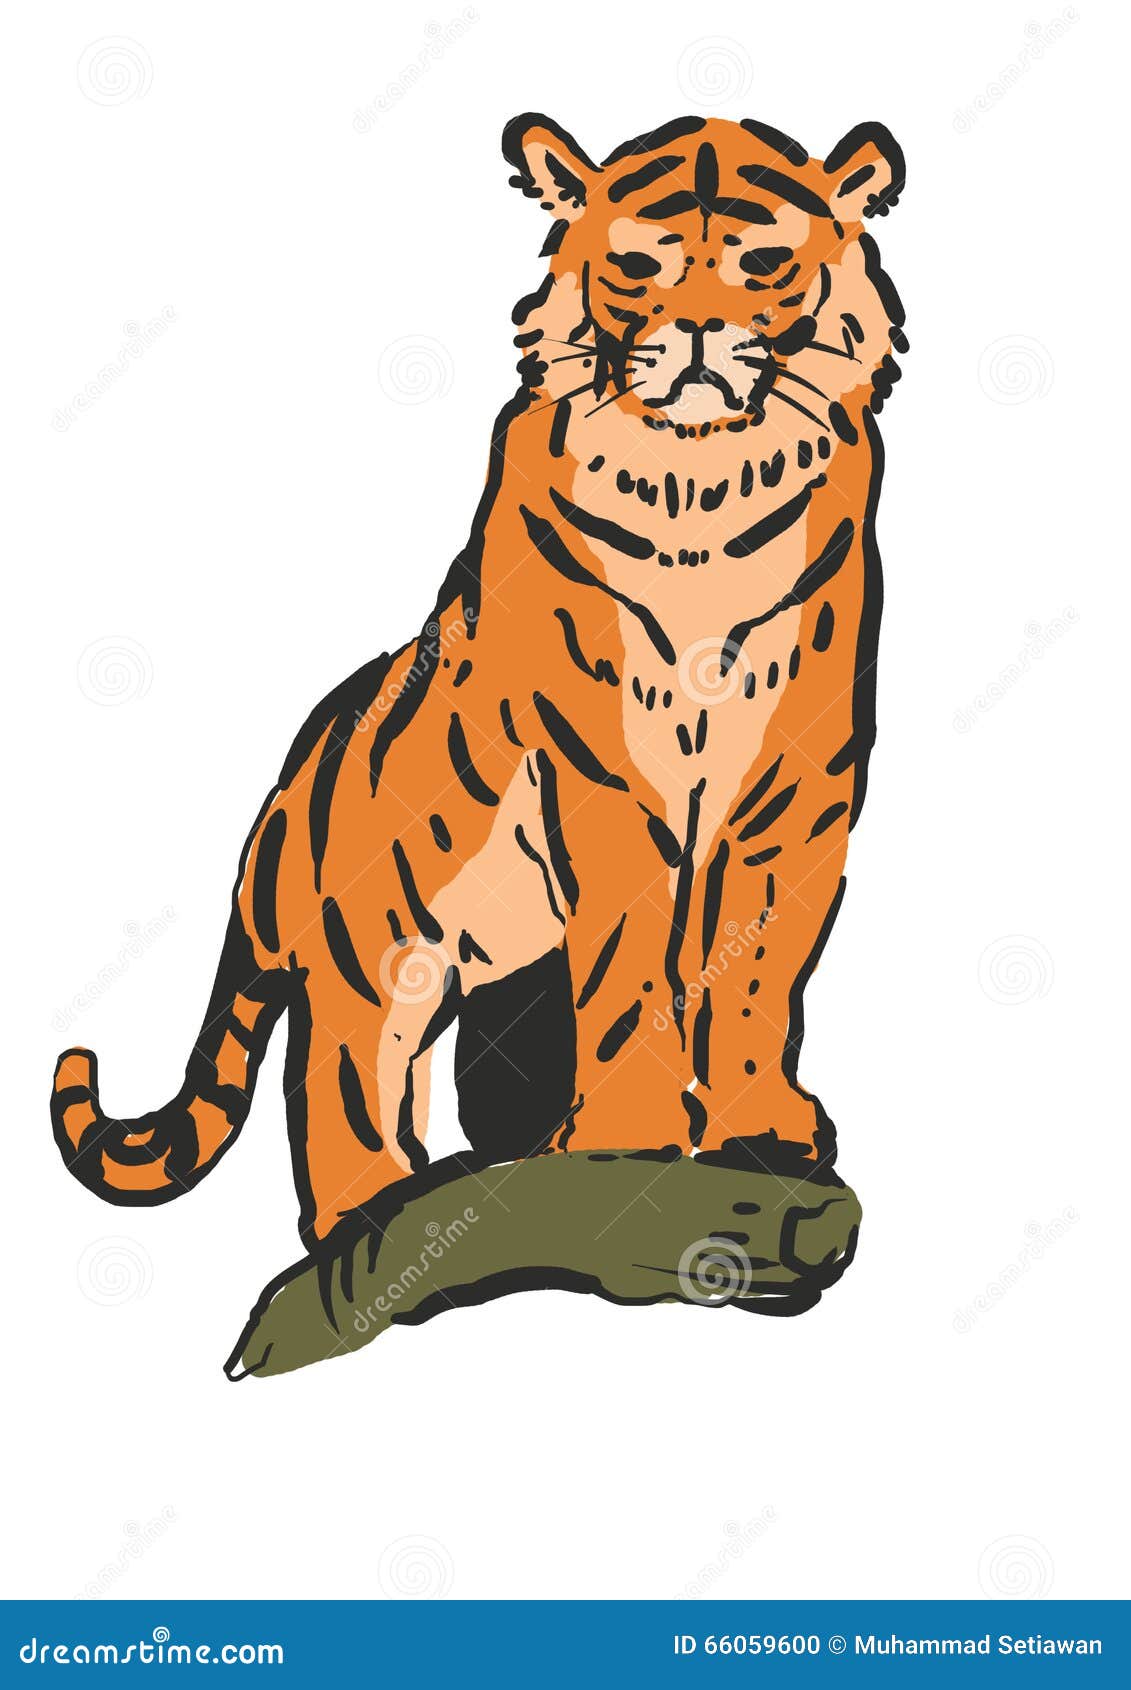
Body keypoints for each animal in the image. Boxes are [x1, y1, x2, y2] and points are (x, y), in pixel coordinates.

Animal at [52, 112, 907, 1263]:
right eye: (639, 267)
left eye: (762, 263)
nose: (693, 332)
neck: (703, 494)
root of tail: (286, 790)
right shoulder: (602, 772)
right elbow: (631, 966)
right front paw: (625, 1138)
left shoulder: (797, 781)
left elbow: (757, 967)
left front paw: (758, 1127)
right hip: (373, 953)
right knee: (343, 1083)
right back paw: (370, 1214)